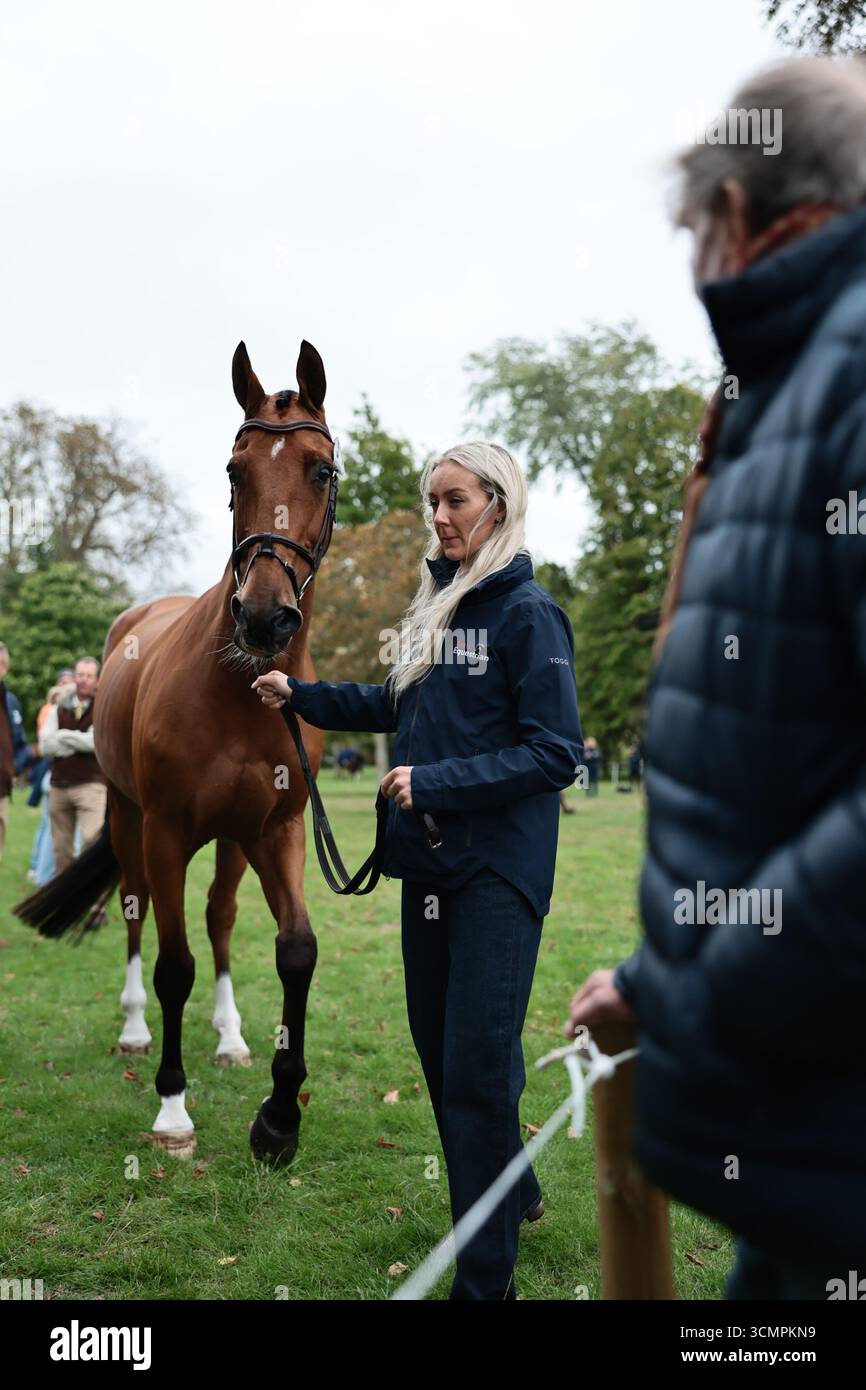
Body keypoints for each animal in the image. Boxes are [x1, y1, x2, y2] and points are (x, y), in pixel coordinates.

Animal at [13, 340, 338, 1164]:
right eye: (234, 469)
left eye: (321, 469)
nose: (263, 617)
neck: (237, 690)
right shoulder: (163, 832)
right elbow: (172, 964)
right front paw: (171, 1109)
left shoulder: (278, 830)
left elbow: (295, 950)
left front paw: (279, 1116)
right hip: (130, 820)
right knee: (134, 914)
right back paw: (134, 1030)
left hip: (231, 840)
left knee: (221, 918)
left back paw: (229, 1037)